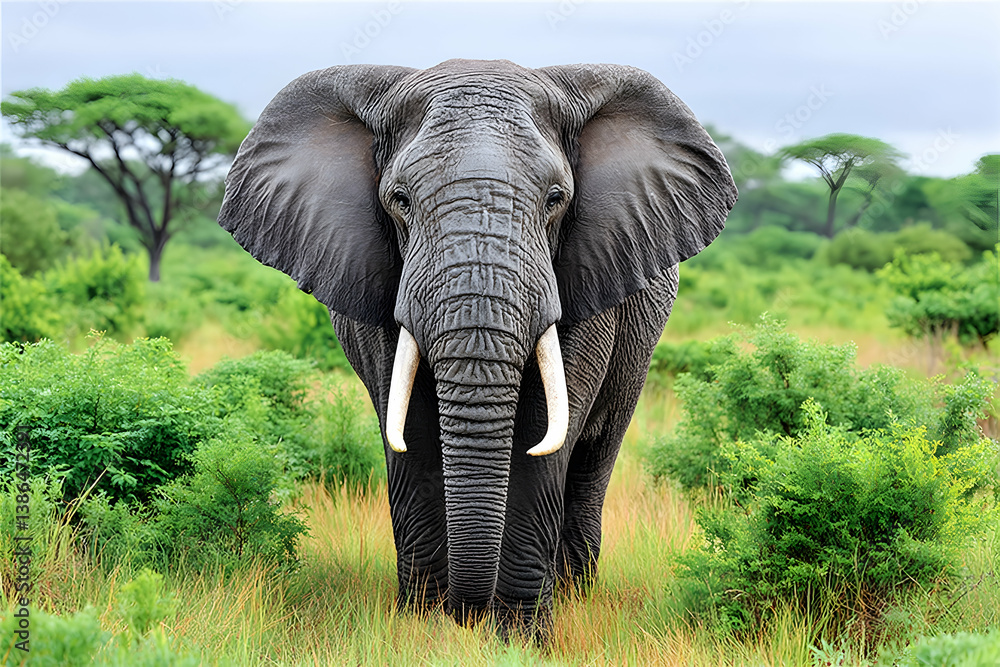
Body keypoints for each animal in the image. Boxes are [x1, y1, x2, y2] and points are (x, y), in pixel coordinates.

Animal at [218, 59, 736, 638]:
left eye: (556, 199)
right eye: (399, 200)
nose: (465, 613)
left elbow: (541, 433)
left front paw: (521, 636)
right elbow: (412, 432)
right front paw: (422, 624)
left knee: (593, 459)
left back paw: (575, 592)